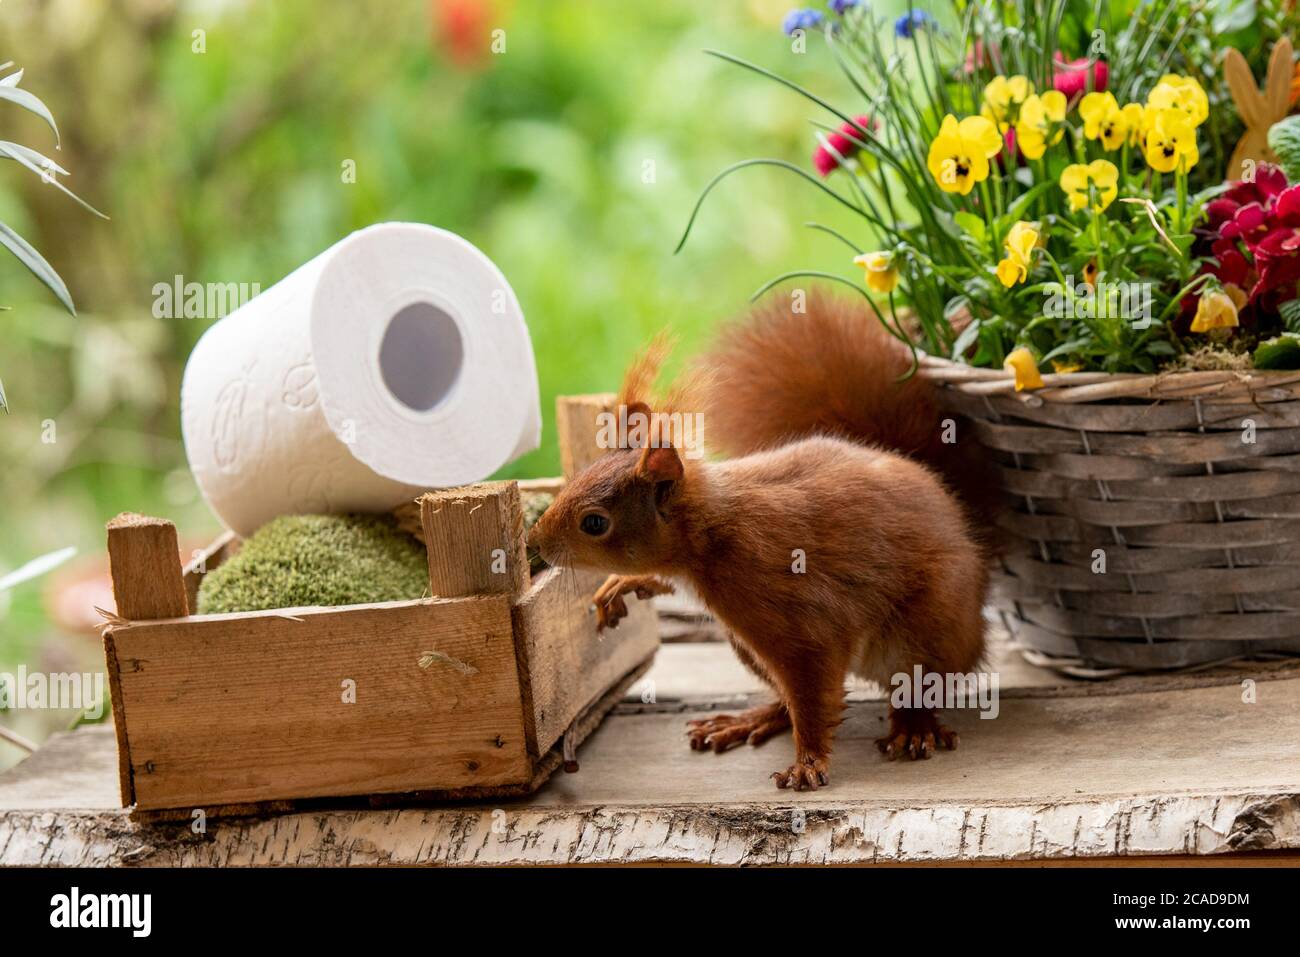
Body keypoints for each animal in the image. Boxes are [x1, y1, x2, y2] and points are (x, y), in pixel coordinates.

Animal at [527, 289, 1001, 790]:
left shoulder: (797, 616)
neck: (709, 535)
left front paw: (808, 761)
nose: (534, 542)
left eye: (595, 523)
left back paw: (913, 724)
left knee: (920, 682)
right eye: (580, 474)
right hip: (745, 645)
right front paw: (624, 584)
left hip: (928, 623)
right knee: (783, 698)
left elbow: (813, 693)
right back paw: (750, 719)